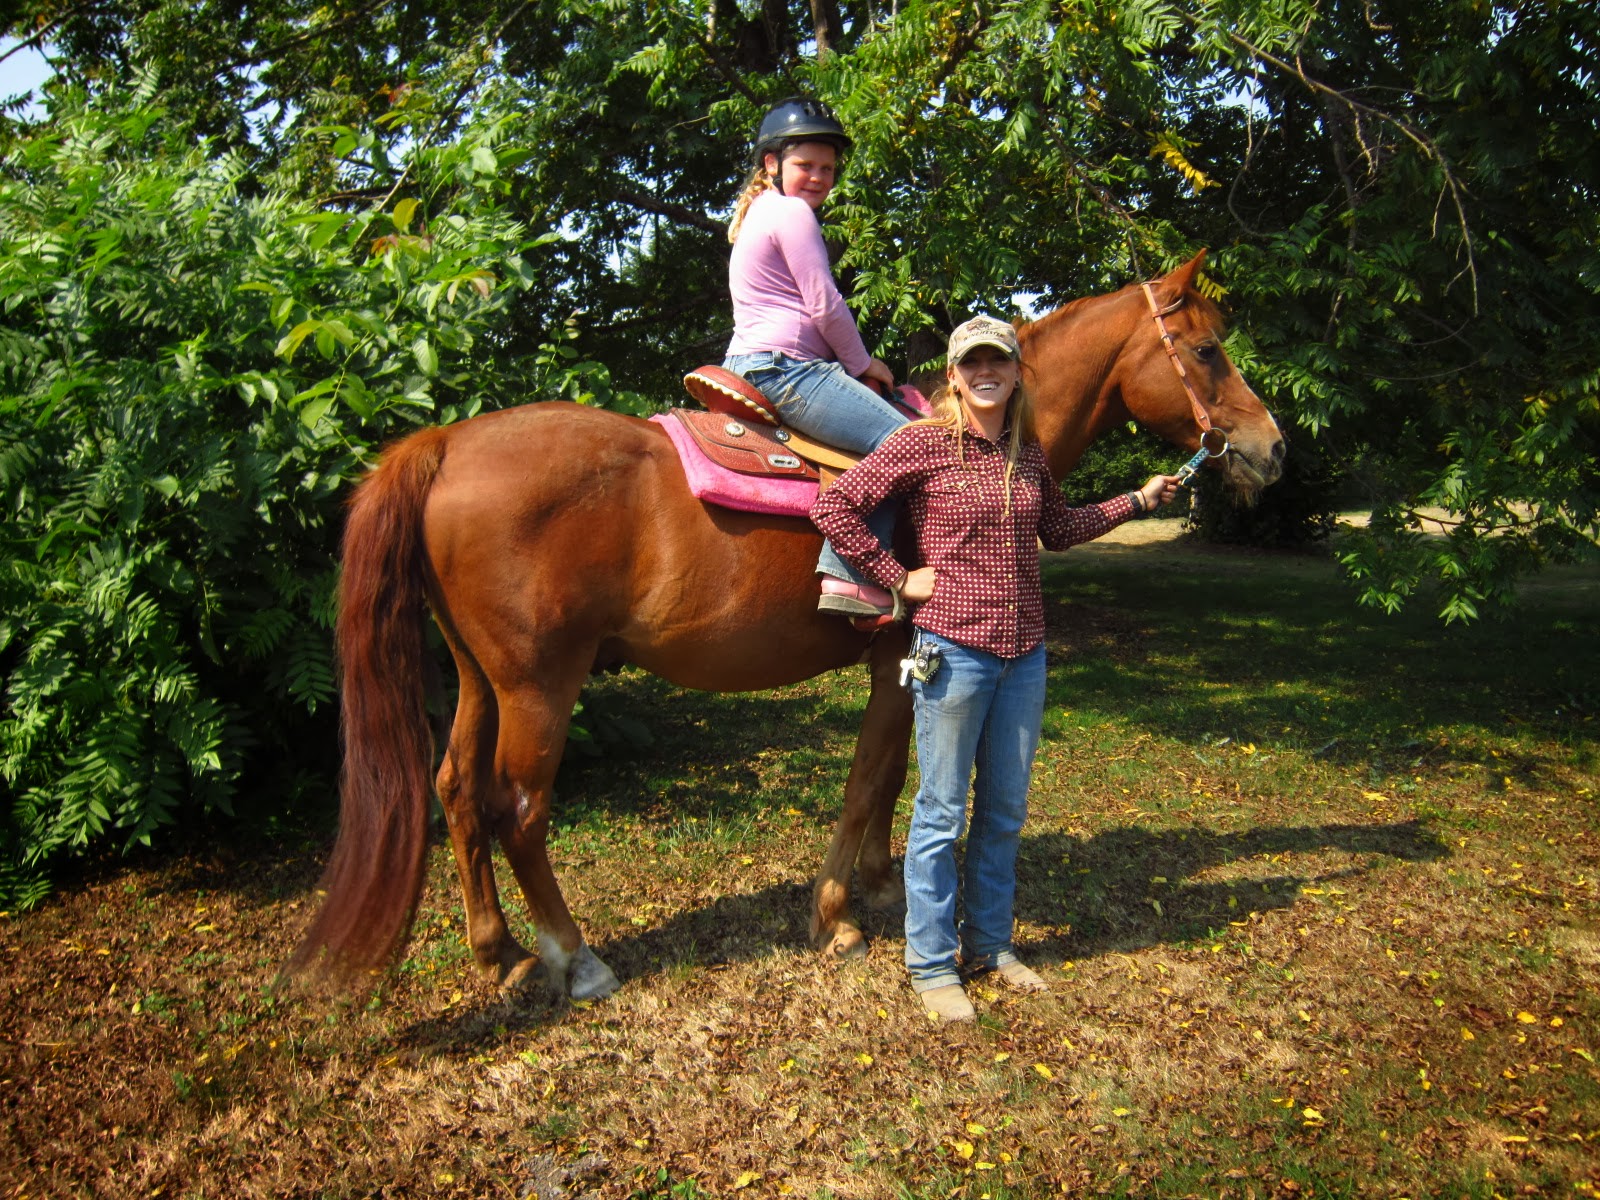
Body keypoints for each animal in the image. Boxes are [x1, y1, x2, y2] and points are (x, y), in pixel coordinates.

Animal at [290, 251, 1286, 1000]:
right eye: (1205, 350)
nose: (1272, 450)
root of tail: (445, 443)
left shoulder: (907, 671)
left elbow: (894, 775)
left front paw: (878, 882)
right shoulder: (903, 658)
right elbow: (871, 774)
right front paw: (837, 914)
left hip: (476, 676)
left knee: (456, 789)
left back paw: (496, 951)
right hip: (541, 685)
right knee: (520, 810)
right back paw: (576, 959)